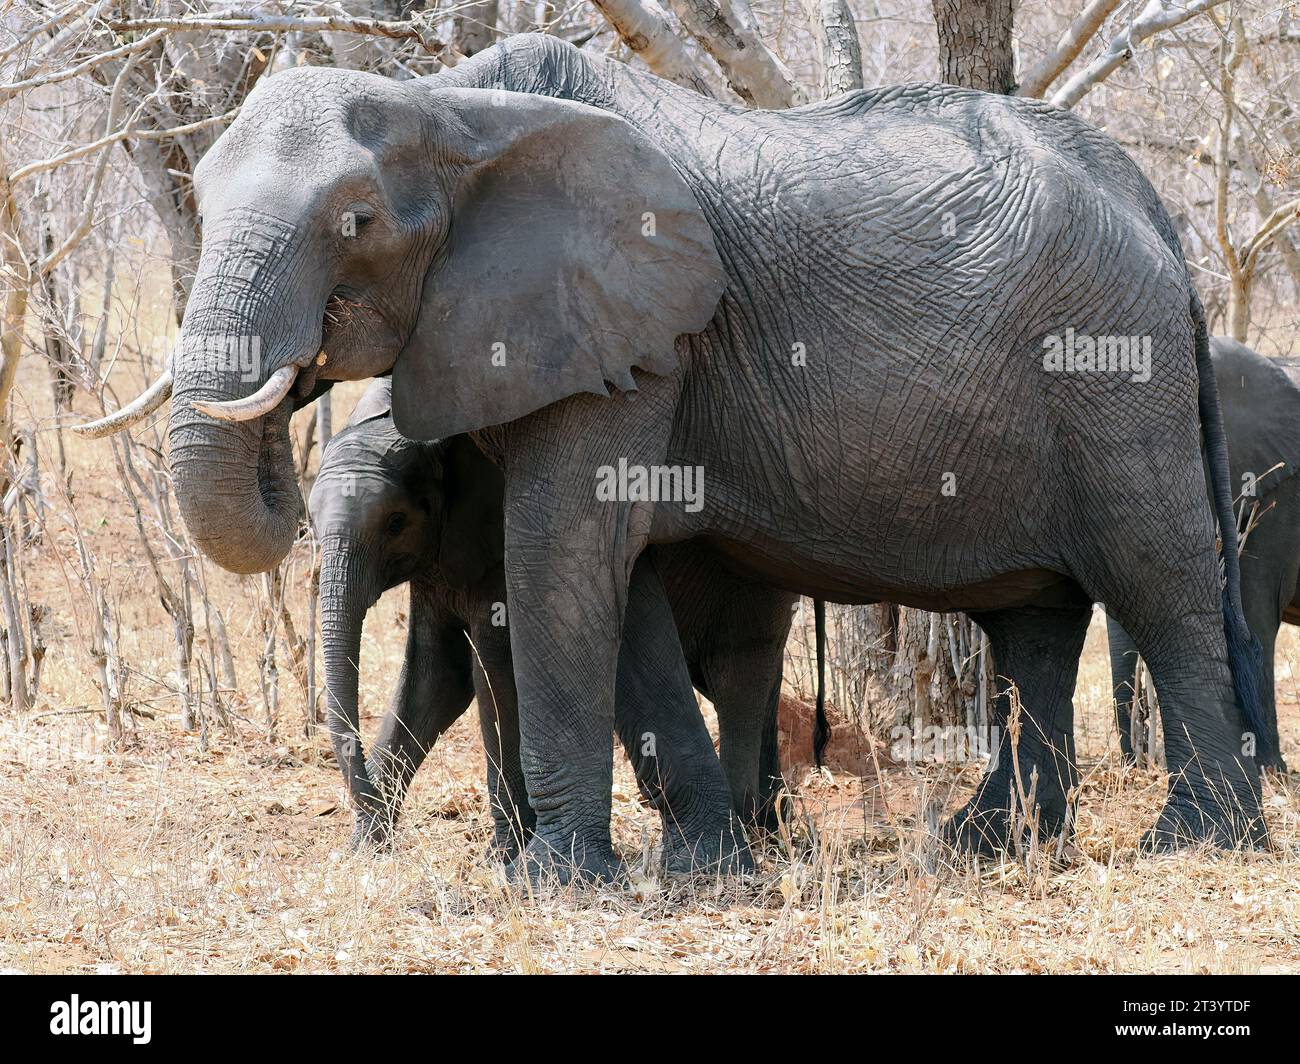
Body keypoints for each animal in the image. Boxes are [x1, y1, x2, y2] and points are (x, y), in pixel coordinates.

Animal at [309, 378, 798, 863]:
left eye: (396, 522)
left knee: (738, 675)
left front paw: (506, 857)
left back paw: (750, 829)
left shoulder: (497, 540)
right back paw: (772, 830)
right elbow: (435, 676)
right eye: (311, 523)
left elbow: (491, 673)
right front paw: (362, 850)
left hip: (752, 585)